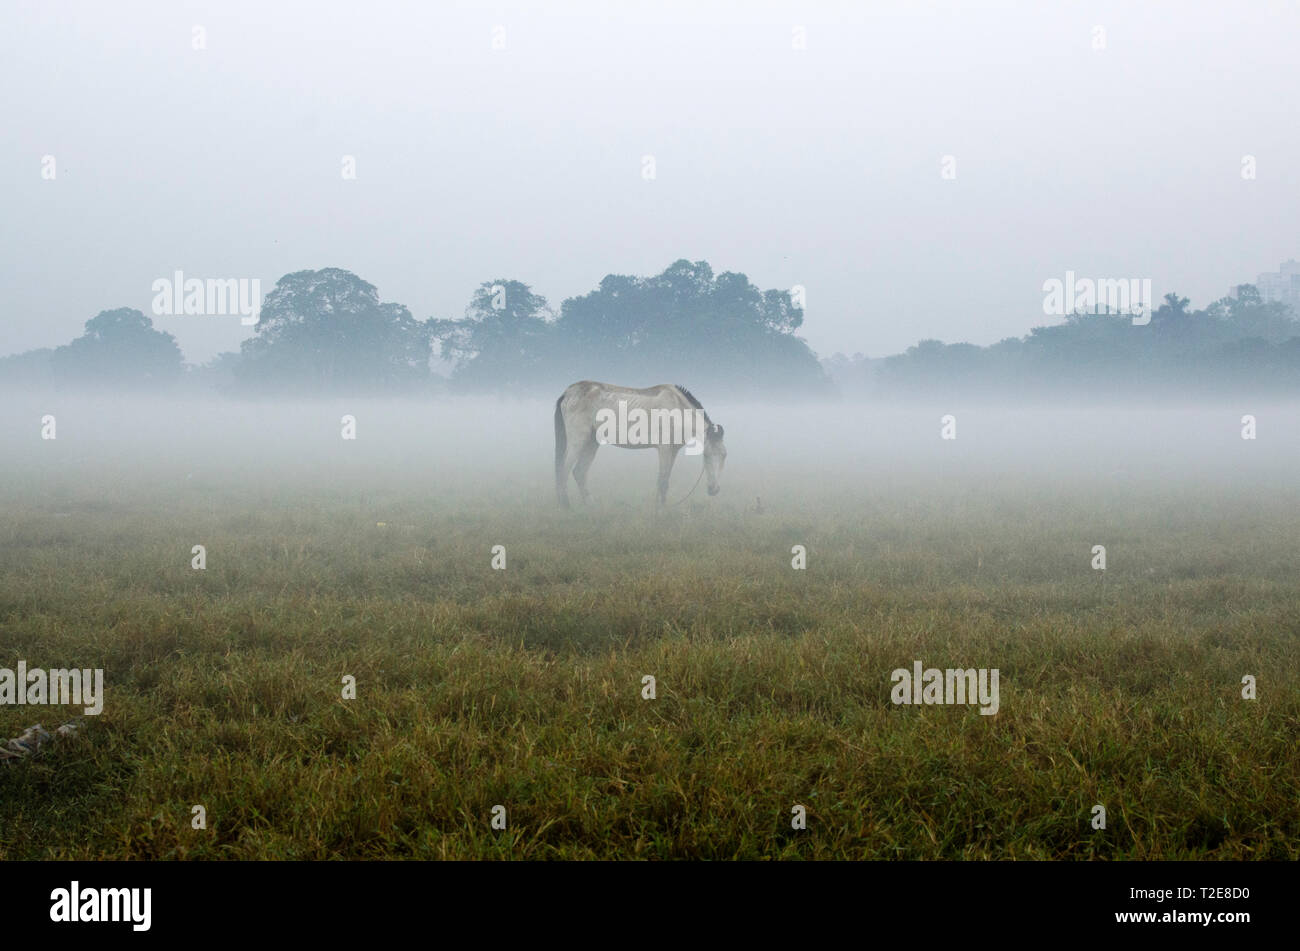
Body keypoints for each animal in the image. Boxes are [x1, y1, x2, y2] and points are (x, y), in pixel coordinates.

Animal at [554, 381, 727, 507]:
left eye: (724, 456)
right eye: (706, 455)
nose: (714, 489)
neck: (677, 411)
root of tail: (568, 392)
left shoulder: (673, 451)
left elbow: (666, 480)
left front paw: (663, 507)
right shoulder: (664, 449)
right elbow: (662, 480)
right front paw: (659, 511)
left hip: (591, 442)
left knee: (579, 472)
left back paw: (591, 506)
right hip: (578, 441)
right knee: (565, 469)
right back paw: (566, 506)